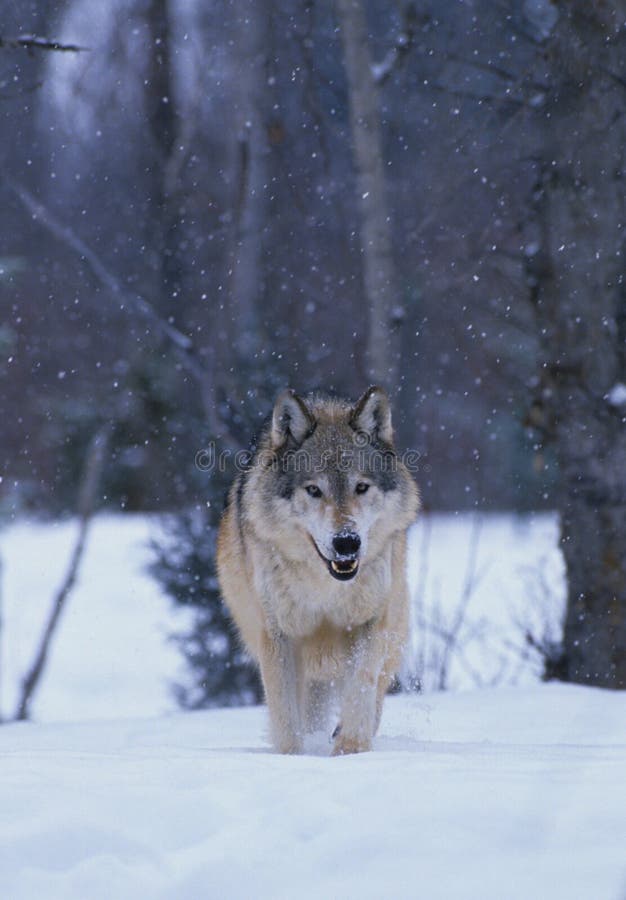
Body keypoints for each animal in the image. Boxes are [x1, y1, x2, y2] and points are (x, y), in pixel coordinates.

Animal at [216, 386, 419, 754]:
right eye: (314, 489)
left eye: (361, 487)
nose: (347, 542)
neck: (325, 586)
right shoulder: (278, 635)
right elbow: (285, 720)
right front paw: (293, 758)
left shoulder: (368, 623)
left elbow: (360, 690)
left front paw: (351, 750)